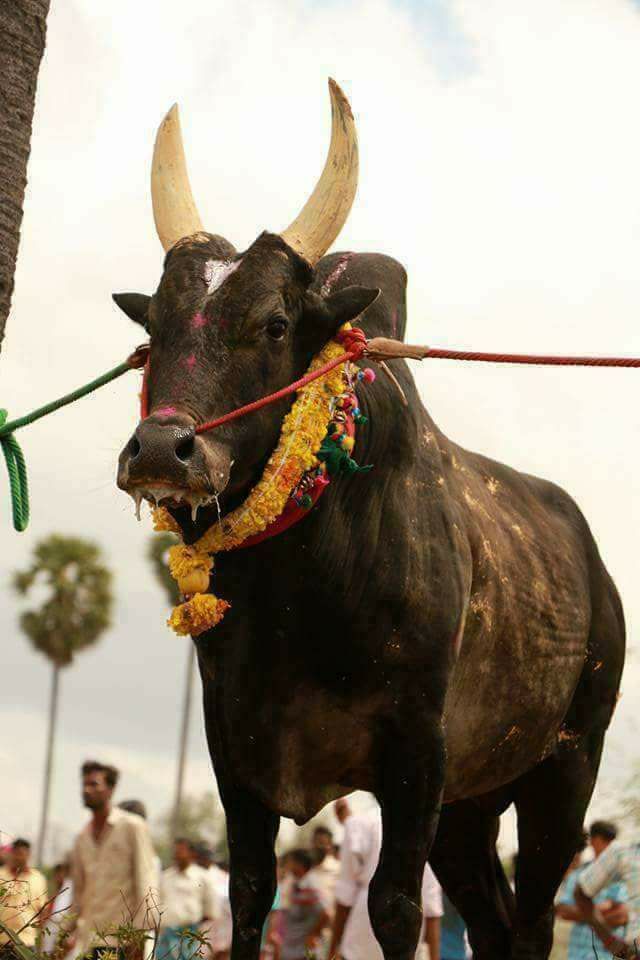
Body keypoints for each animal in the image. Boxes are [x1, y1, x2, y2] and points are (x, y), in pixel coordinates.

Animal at [115, 81, 625, 960]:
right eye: (153, 331)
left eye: (275, 323)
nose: (159, 448)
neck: (296, 590)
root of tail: (596, 570)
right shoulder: (233, 750)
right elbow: (248, 894)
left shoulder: (416, 752)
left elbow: (392, 907)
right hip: (469, 810)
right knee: (491, 923)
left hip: (563, 772)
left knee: (529, 922)